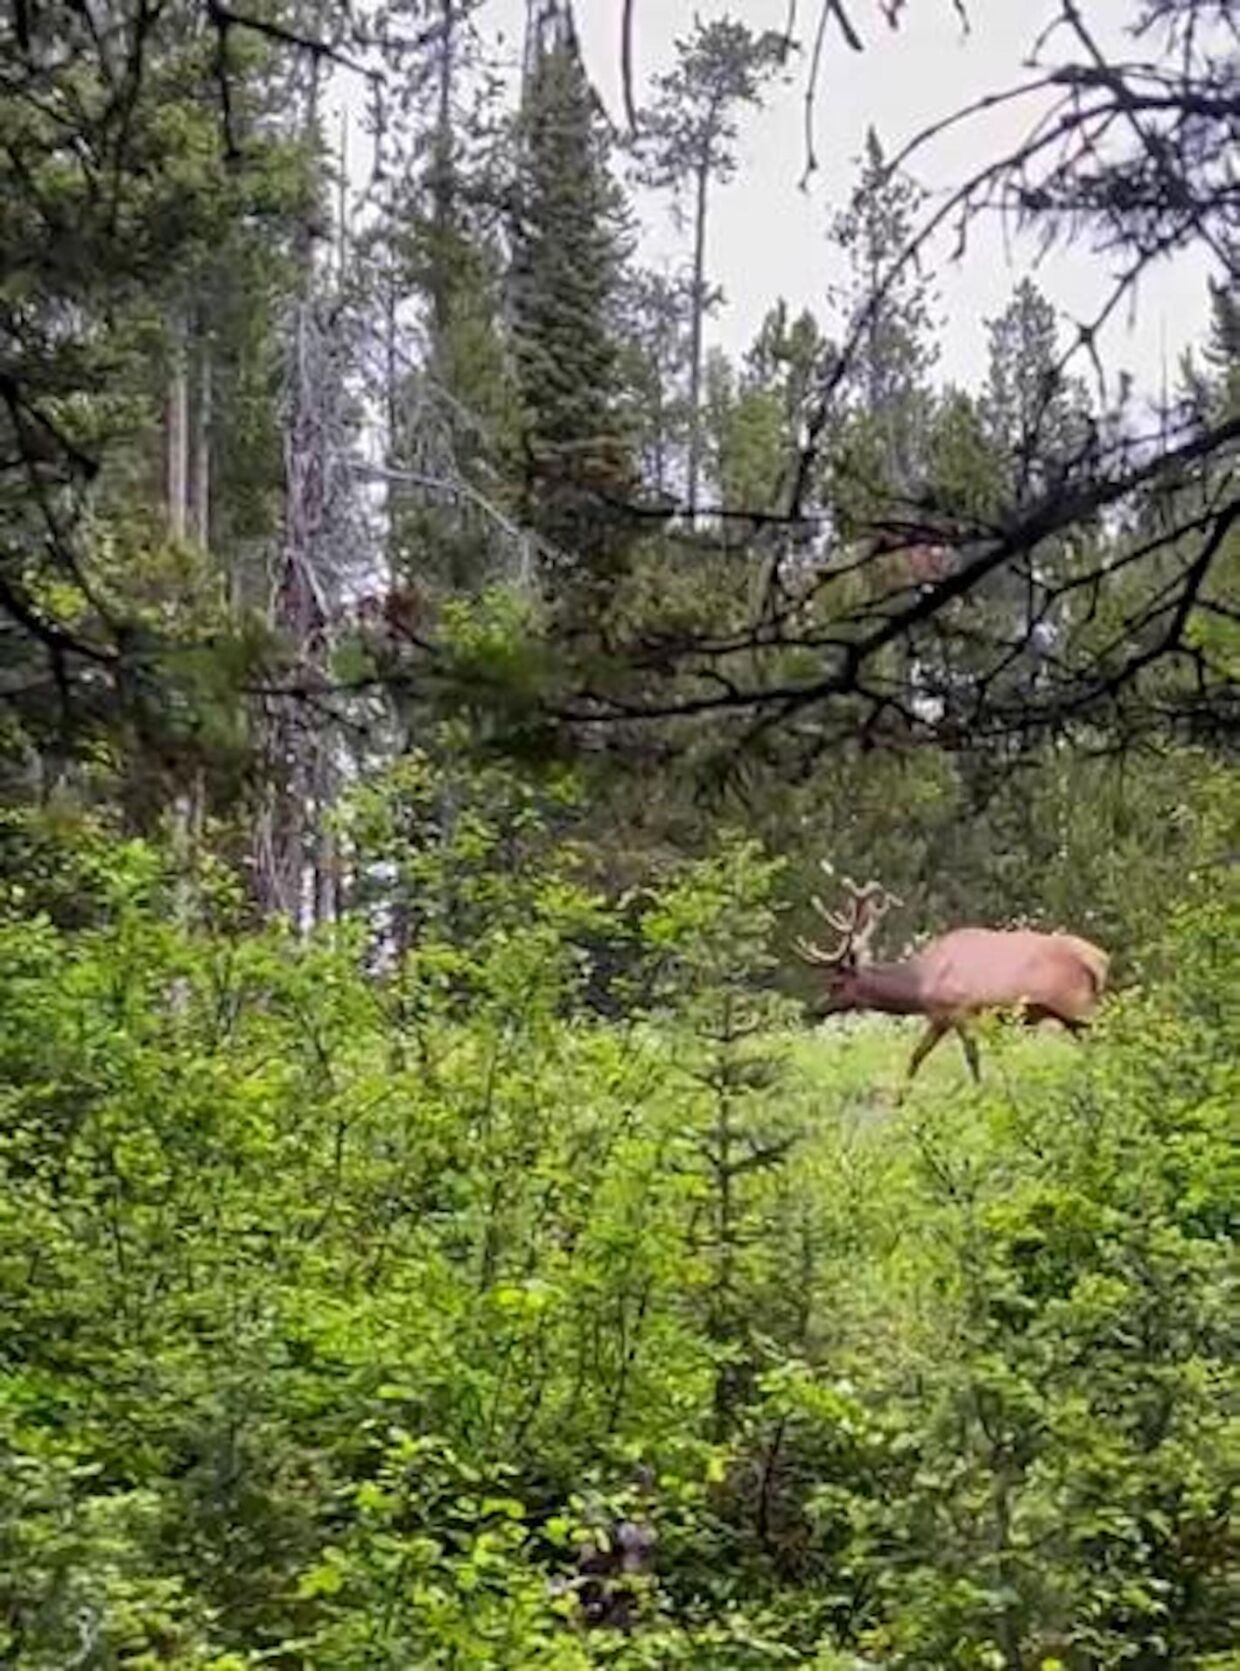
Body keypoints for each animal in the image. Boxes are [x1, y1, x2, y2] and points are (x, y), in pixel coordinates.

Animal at [794, 868, 1109, 1096]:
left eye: (835, 983)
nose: (812, 1010)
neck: (921, 984)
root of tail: (1100, 960)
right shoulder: (939, 1017)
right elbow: (917, 1055)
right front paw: (900, 1100)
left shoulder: (961, 1010)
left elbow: (972, 1057)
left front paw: (979, 1094)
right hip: (1073, 1014)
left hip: (1078, 1005)